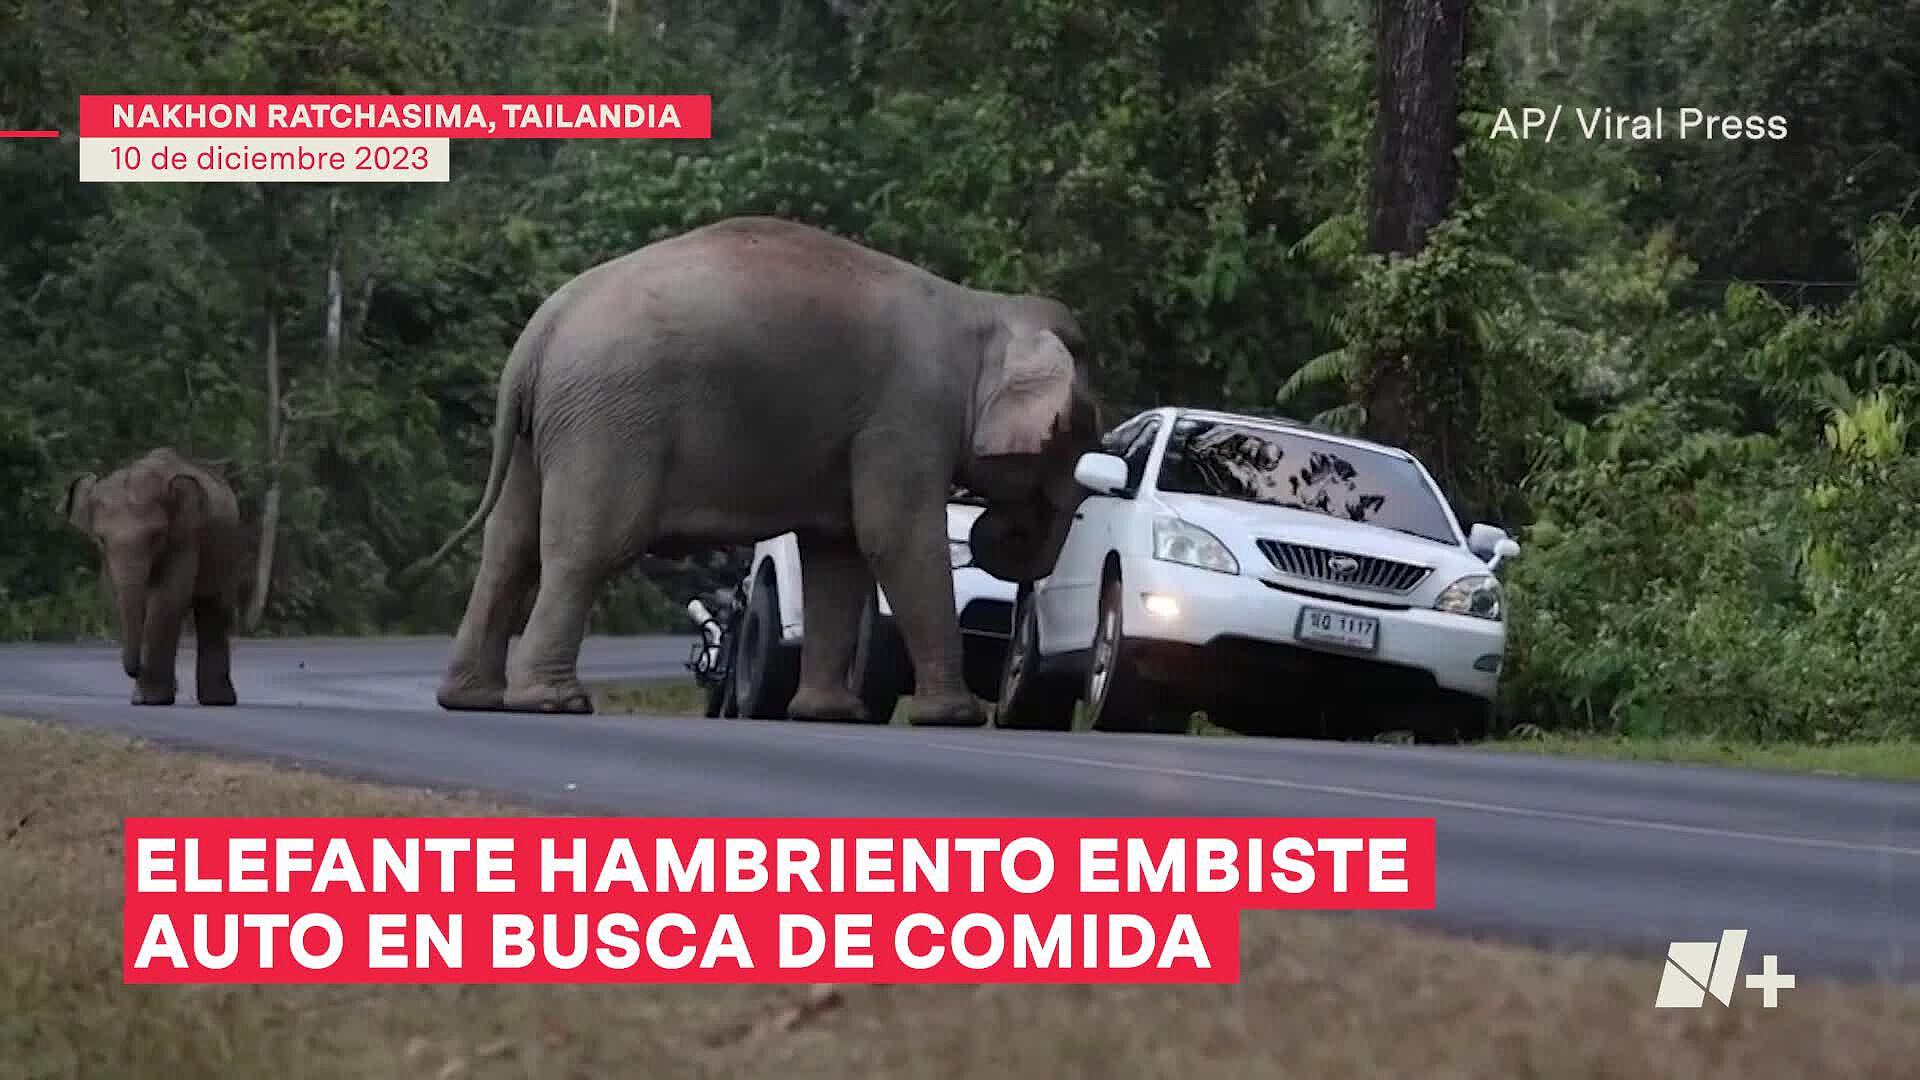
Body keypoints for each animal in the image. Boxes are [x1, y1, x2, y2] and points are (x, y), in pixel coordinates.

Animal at [60, 447, 245, 706]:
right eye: (101, 539)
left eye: (156, 537)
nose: (137, 669)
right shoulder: (107, 559)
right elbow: (115, 597)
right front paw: (144, 697)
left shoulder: (185, 537)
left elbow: (168, 598)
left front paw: (151, 698)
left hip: (228, 551)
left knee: (215, 610)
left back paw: (219, 700)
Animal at [409, 215, 1104, 727]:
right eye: (1081, 429)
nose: (1000, 527)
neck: (985, 311)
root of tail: (539, 334)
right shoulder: (907, 416)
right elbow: (895, 539)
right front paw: (953, 718)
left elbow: (837, 554)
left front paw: (831, 716)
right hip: (609, 422)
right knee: (587, 548)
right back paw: (557, 704)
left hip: (546, 431)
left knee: (509, 548)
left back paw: (473, 700)